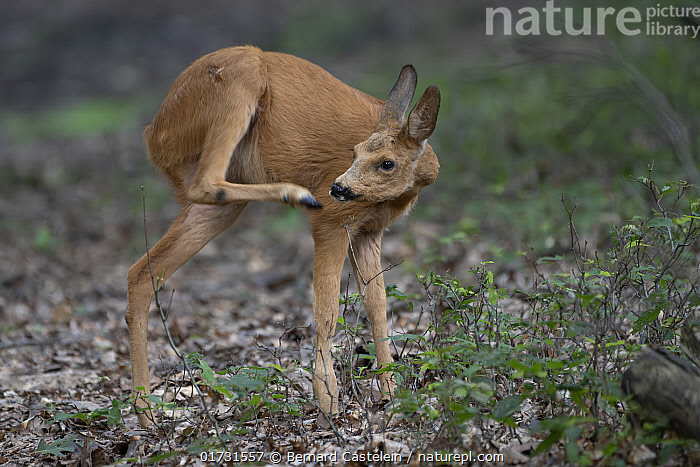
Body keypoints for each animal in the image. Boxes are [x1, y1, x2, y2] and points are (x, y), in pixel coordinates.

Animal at [126, 46, 440, 427]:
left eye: (387, 163)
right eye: (353, 152)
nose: (338, 187)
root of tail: (152, 134)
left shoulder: (369, 231)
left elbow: (377, 305)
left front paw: (393, 394)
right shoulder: (332, 222)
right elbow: (326, 311)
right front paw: (329, 402)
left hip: (220, 204)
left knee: (141, 273)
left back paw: (146, 413)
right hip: (240, 77)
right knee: (205, 183)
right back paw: (297, 193)